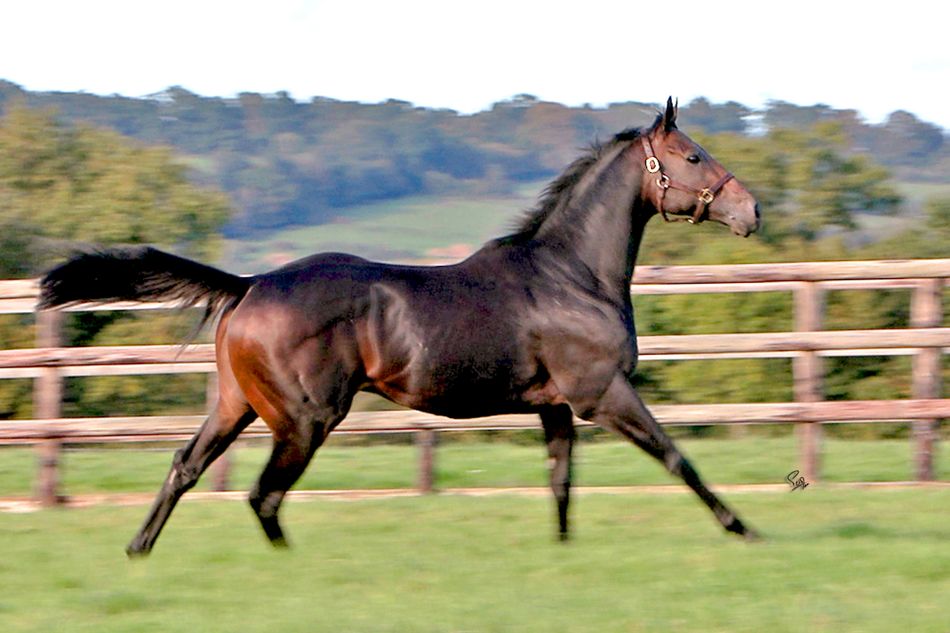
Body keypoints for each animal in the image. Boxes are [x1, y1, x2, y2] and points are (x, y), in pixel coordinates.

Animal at [38, 98, 761, 557]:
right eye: (692, 156)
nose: (751, 210)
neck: (571, 274)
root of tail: (250, 285)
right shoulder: (601, 392)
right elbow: (676, 455)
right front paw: (742, 527)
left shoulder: (554, 405)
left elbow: (560, 481)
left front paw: (562, 552)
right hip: (304, 418)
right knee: (264, 495)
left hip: (237, 403)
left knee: (186, 466)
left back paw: (138, 547)